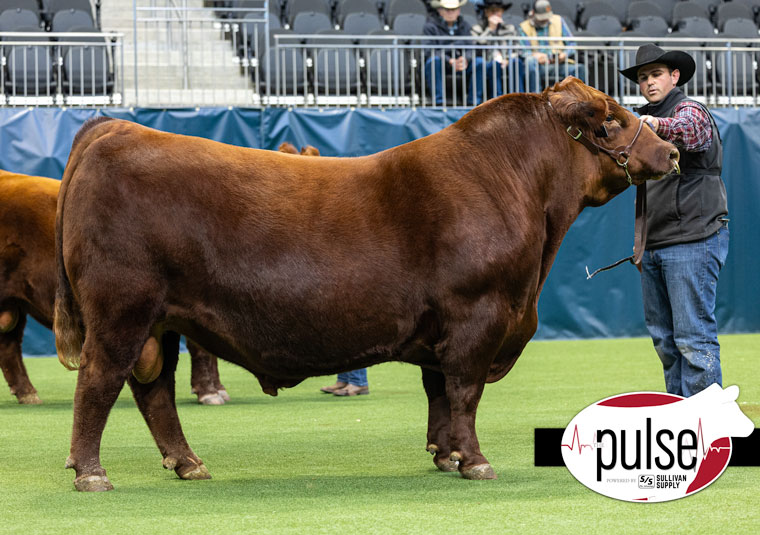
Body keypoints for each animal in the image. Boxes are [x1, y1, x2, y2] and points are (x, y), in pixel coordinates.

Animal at [54, 77, 680, 491]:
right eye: (613, 122)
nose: (672, 150)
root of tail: (116, 126)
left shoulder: (444, 330)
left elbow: (438, 393)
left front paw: (445, 456)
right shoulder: (477, 316)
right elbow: (465, 393)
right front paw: (476, 461)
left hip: (160, 322)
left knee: (153, 391)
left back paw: (188, 464)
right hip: (122, 310)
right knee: (100, 381)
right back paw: (91, 473)